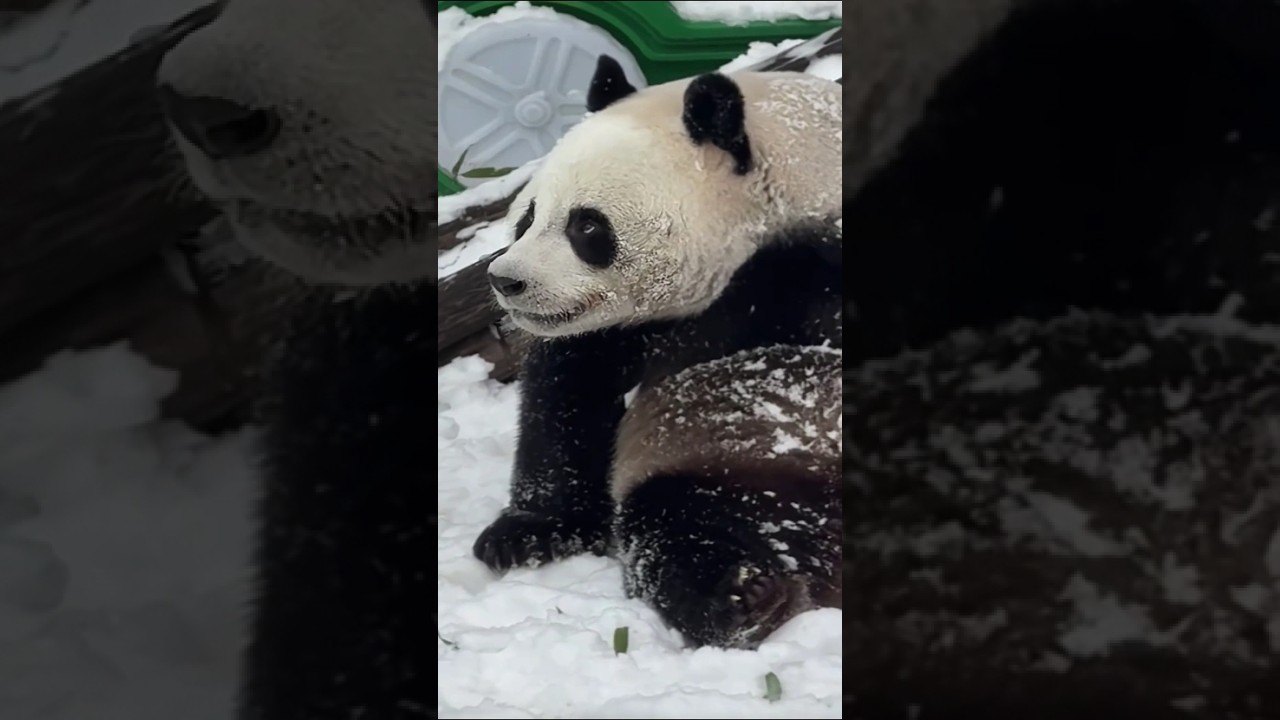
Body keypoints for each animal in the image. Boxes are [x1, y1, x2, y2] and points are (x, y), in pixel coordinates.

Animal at [471, 56, 843, 649]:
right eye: (527, 218)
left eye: (587, 225)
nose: (505, 280)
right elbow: (569, 401)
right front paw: (526, 533)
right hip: (724, 470)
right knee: (676, 525)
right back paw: (743, 596)